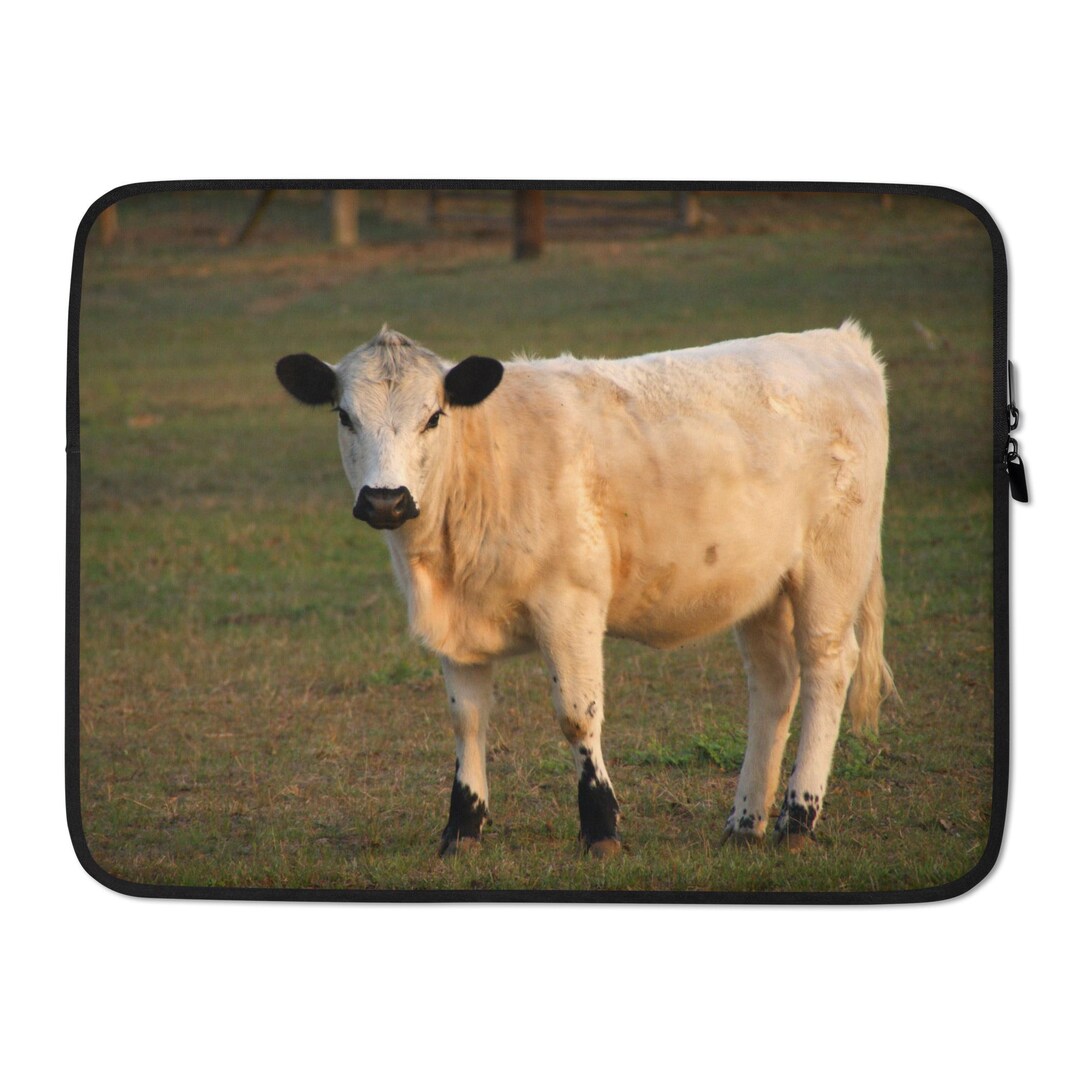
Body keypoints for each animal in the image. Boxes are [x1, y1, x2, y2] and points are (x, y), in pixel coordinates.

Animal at [275, 322, 893, 857]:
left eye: (433, 417)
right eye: (344, 416)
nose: (386, 500)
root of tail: (838, 341)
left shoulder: (569, 606)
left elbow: (577, 714)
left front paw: (600, 827)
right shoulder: (459, 629)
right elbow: (466, 719)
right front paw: (462, 828)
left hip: (832, 566)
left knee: (827, 666)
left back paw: (798, 817)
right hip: (760, 584)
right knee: (774, 683)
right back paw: (745, 821)